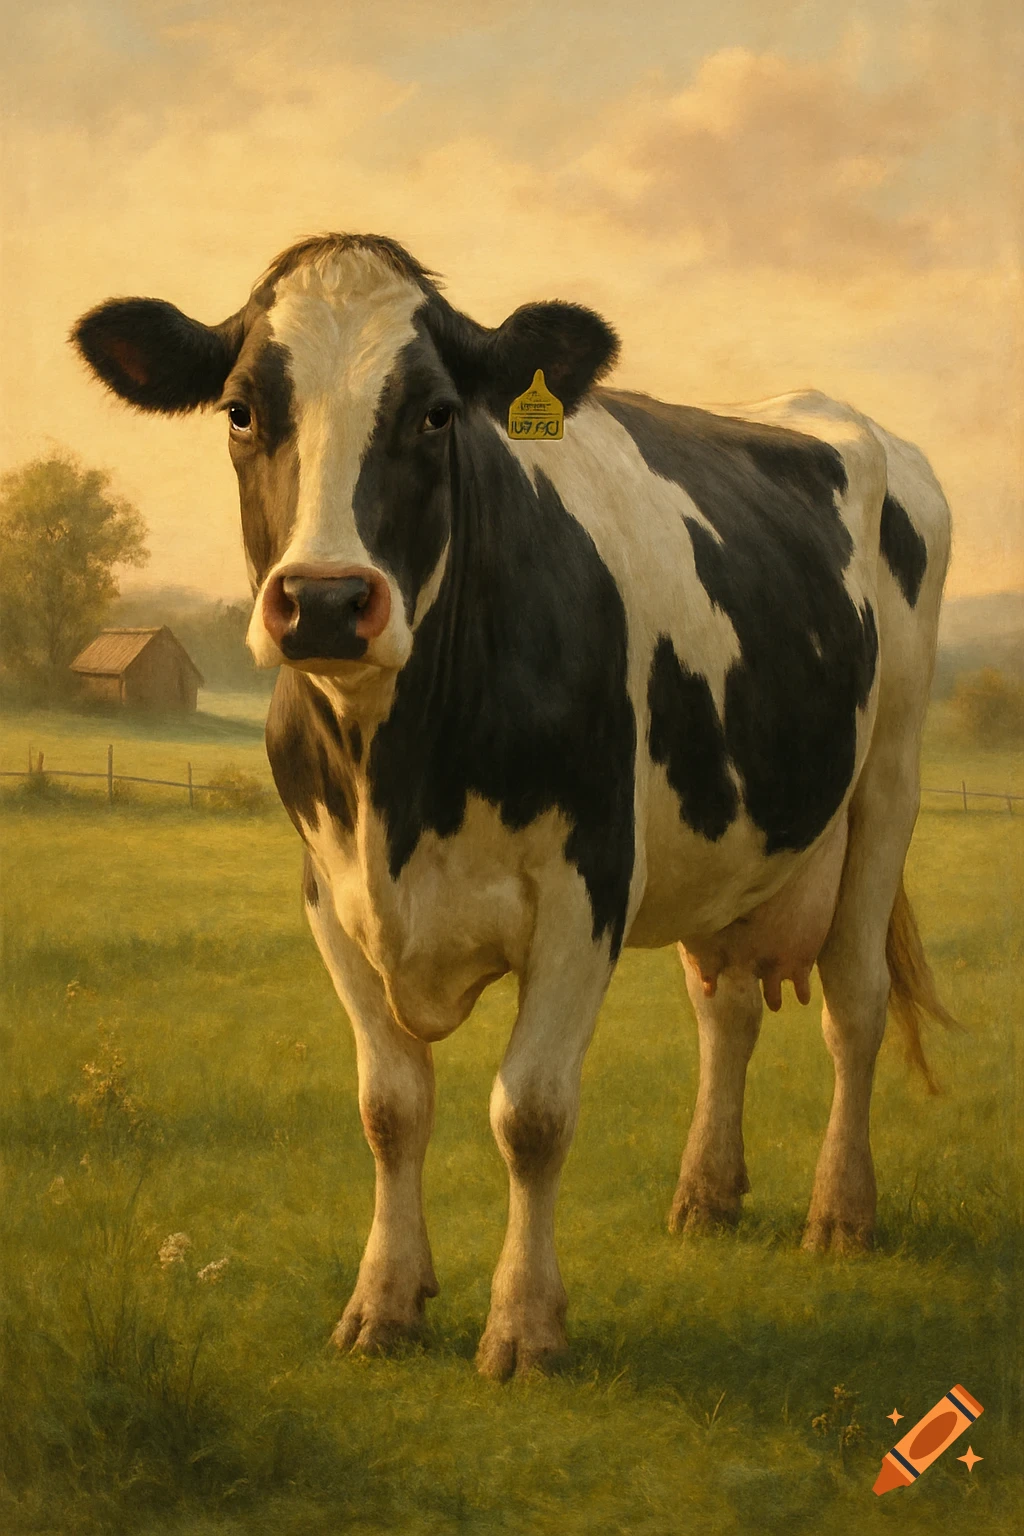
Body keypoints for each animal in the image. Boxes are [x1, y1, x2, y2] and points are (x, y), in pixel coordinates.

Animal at [72, 233, 956, 1379]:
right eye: (239, 411)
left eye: (438, 413)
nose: (324, 600)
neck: (397, 782)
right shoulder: (328, 892)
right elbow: (390, 1108)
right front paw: (384, 1304)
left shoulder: (588, 886)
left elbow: (530, 1113)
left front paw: (526, 1327)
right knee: (723, 1009)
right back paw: (705, 1196)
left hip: (887, 783)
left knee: (854, 1007)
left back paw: (840, 1214)